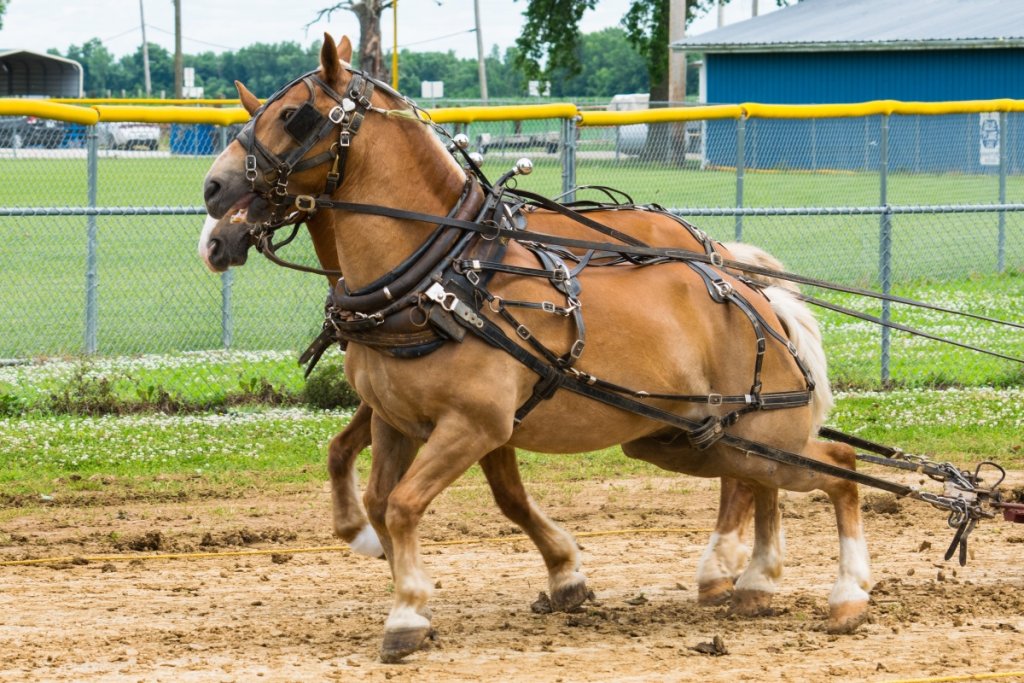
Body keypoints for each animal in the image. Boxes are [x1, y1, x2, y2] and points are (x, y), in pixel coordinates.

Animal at [202, 34, 869, 663]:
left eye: (294, 115)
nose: (213, 193)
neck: (442, 277)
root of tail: (746, 288)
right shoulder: (399, 421)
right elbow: (375, 489)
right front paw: (405, 574)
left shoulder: (478, 425)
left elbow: (415, 504)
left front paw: (410, 611)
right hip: (691, 440)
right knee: (768, 480)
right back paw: (753, 581)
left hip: (758, 435)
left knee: (836, 470)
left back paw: (838, 594)